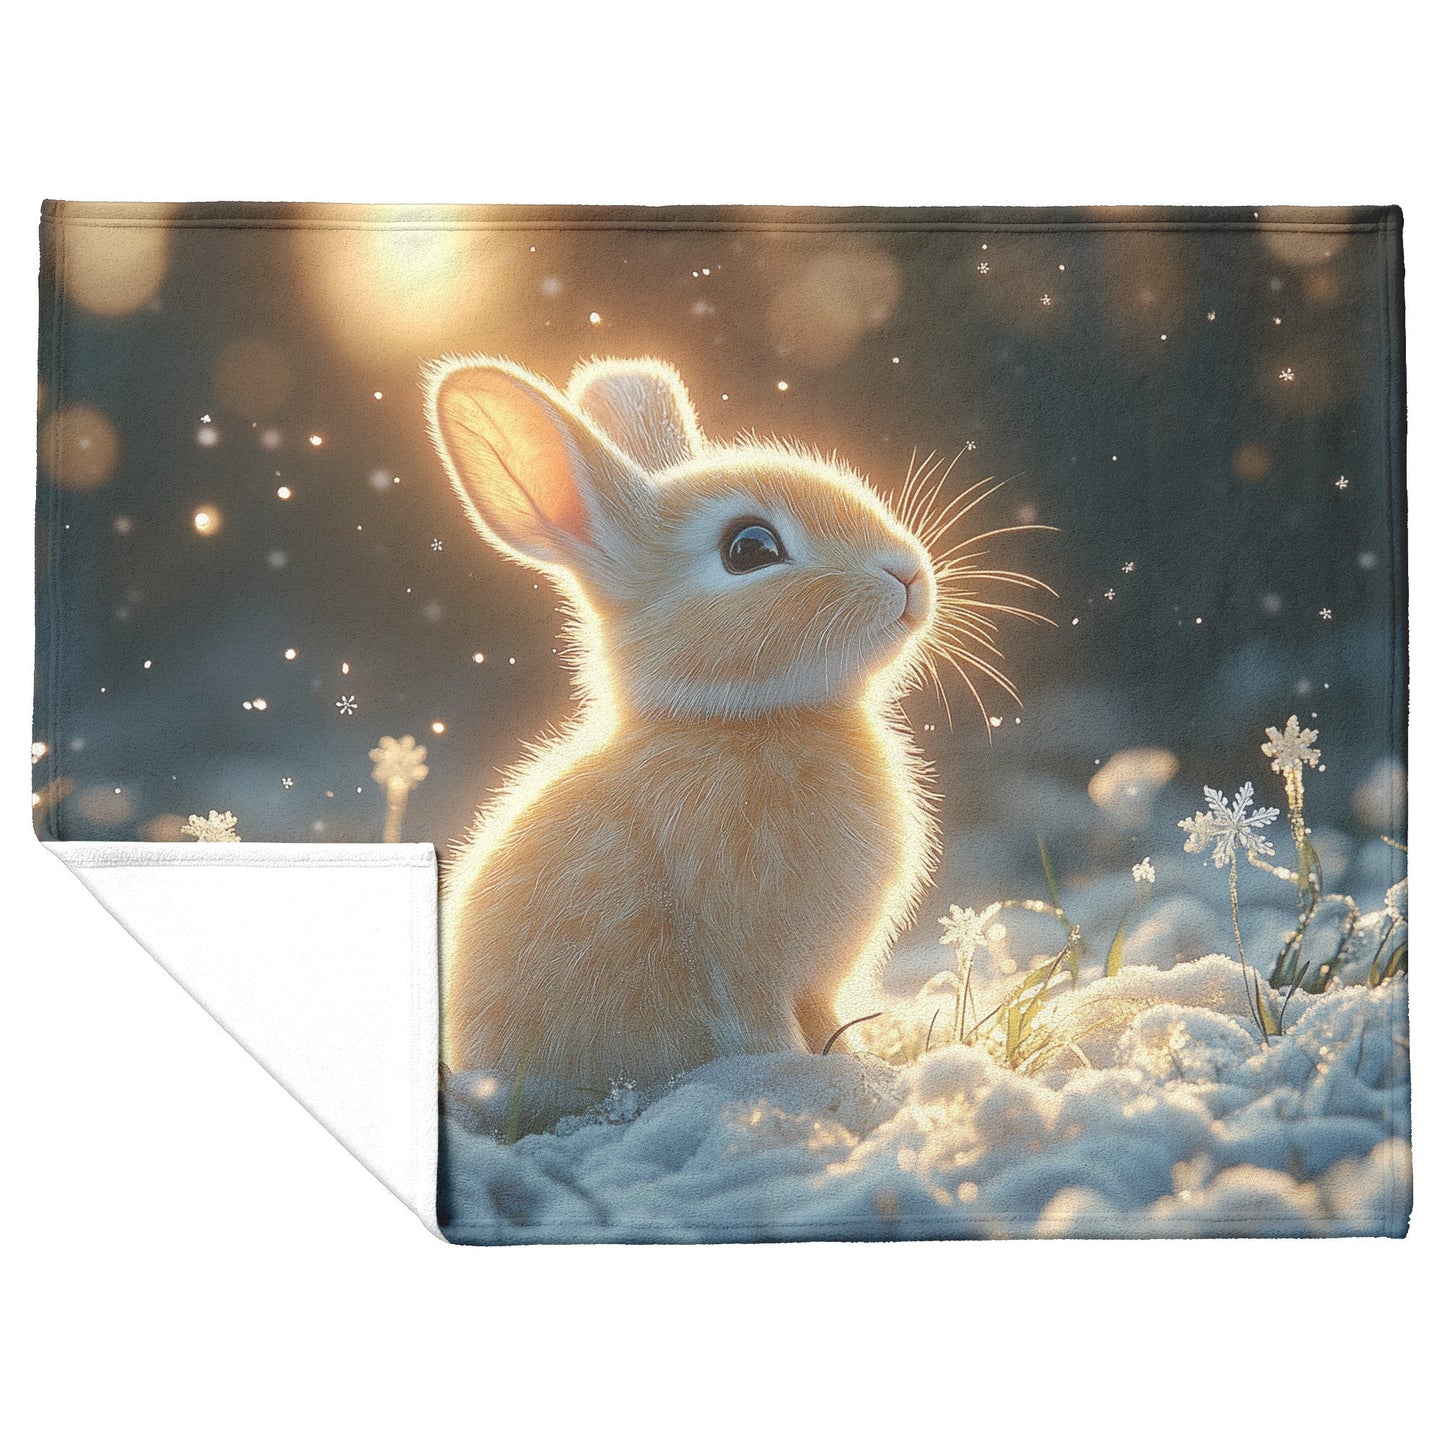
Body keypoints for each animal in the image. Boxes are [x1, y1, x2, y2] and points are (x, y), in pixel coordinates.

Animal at [424, 353, 947, 1131]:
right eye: (750, 548)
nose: (907, 573)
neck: (738, 719)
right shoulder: (744, 960)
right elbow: (766, 1033)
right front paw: (805, 1087)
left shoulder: (812, 983)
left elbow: (828, 1025)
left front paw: (866, 1074)